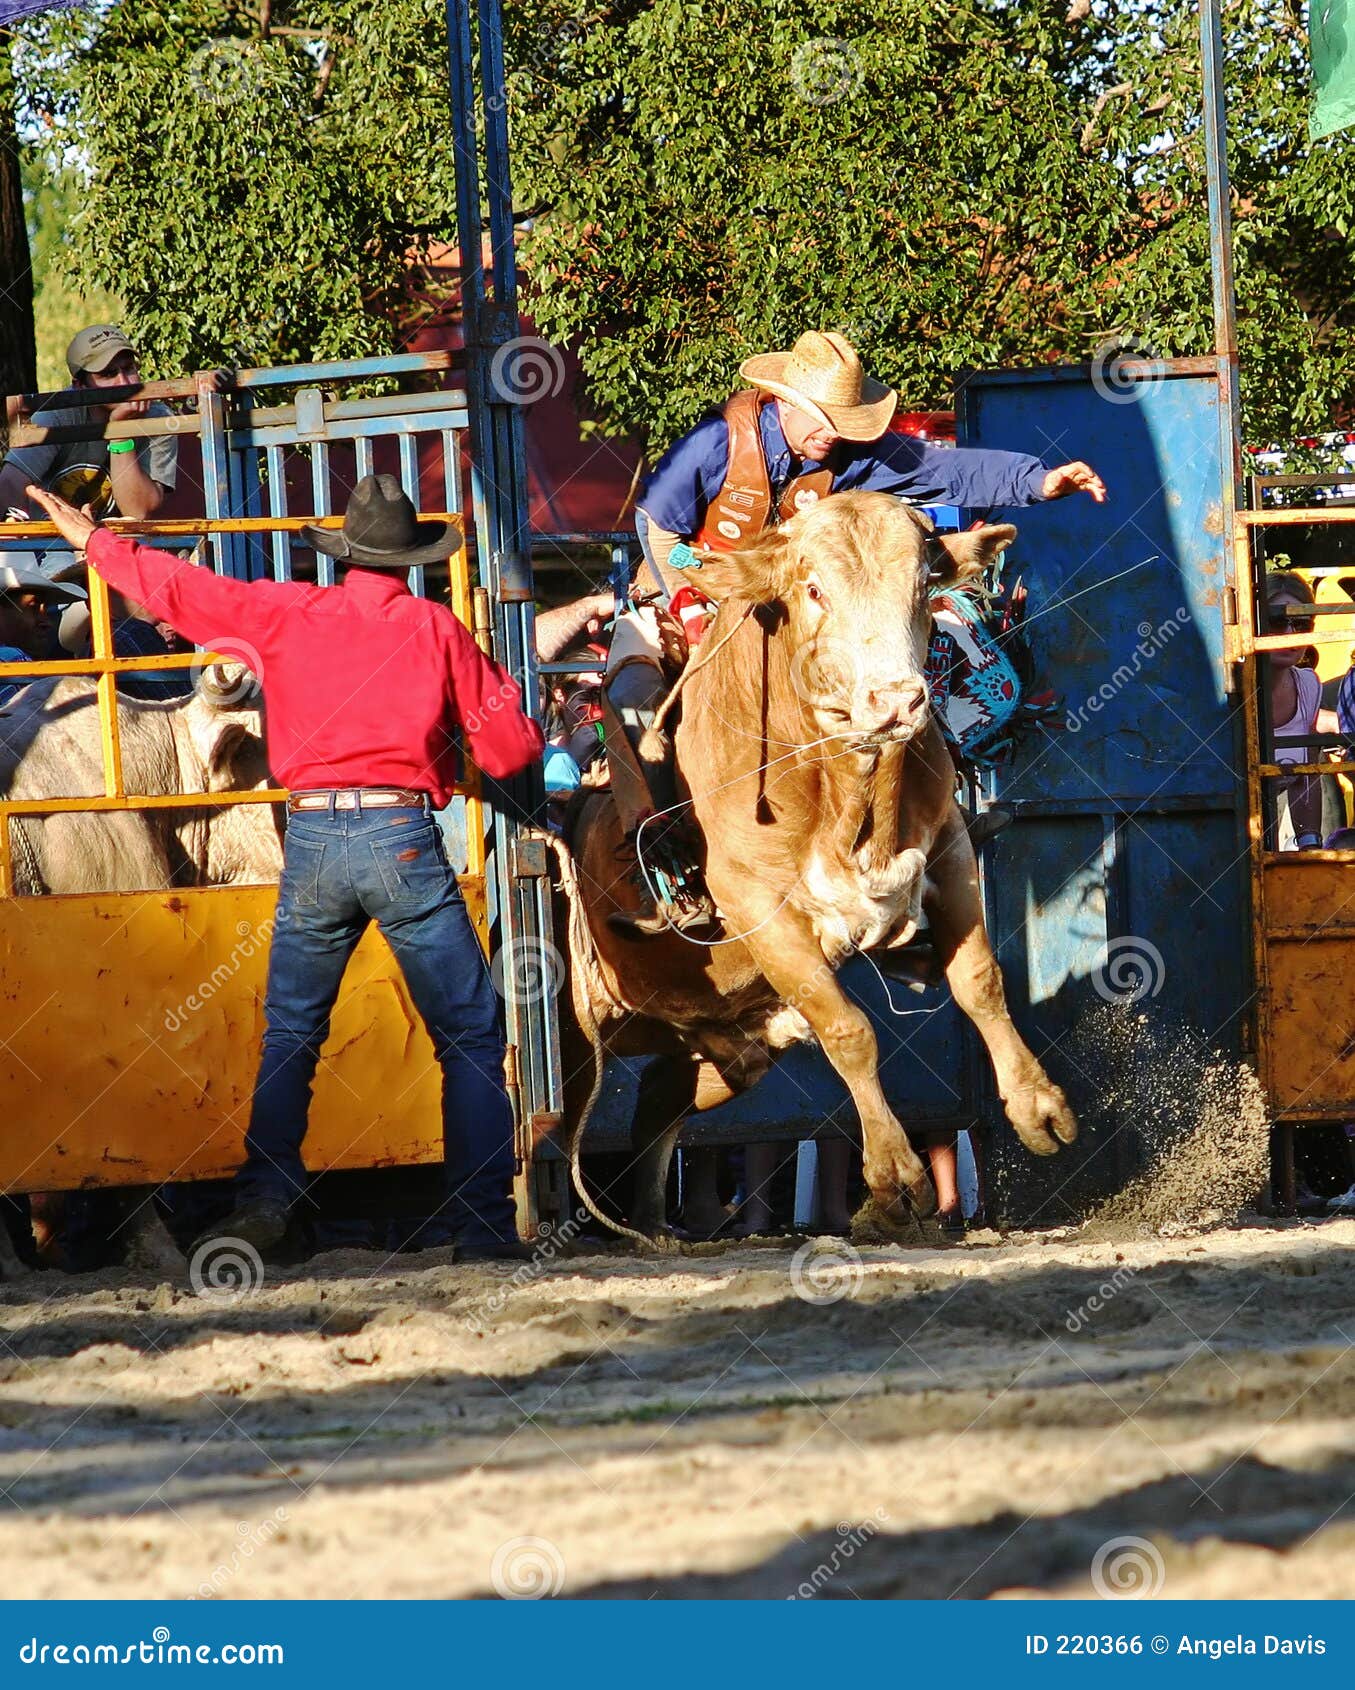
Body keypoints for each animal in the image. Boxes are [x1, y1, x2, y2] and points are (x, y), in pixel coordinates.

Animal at [559, 490, 1077, 1238]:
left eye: (922, 583)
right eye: (813, 589)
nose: (896, 701)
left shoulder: (949, 854)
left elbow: (979, 981)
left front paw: (1038, 1108)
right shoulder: (762, 912)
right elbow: (848, 1030)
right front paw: (895, 1183)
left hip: (728, 1042)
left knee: (659, 1097)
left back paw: (653, 1224)